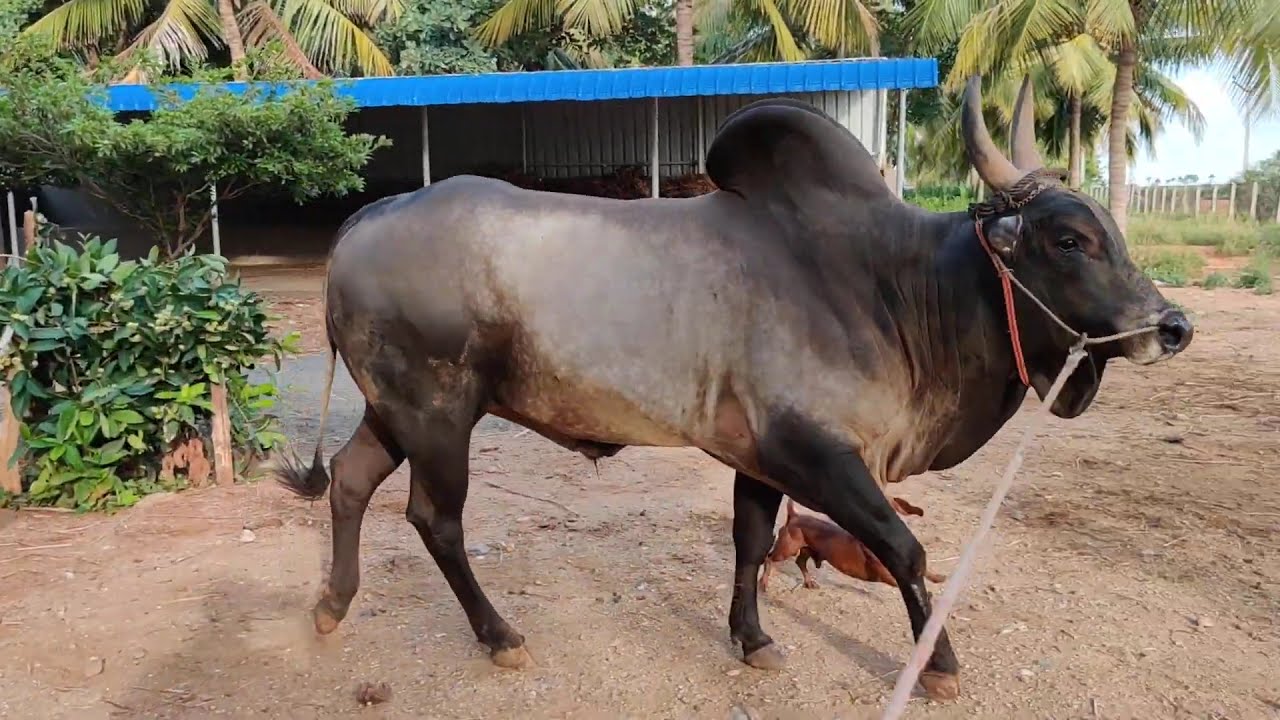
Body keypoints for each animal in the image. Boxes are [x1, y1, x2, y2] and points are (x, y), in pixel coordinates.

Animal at [273, 74, 1193, 700]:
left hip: (395, 413)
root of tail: (363, 220)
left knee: (349, 482)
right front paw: (939, 665)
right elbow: (907, 549)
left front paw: (752, 639)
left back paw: (332, 605)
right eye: (1070, 238)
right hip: (437, 413)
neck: (896, 289)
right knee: (436, 521)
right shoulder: (819, 452)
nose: (1173, 325)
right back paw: (499, 635)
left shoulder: (761, 457)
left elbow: (752, 543)